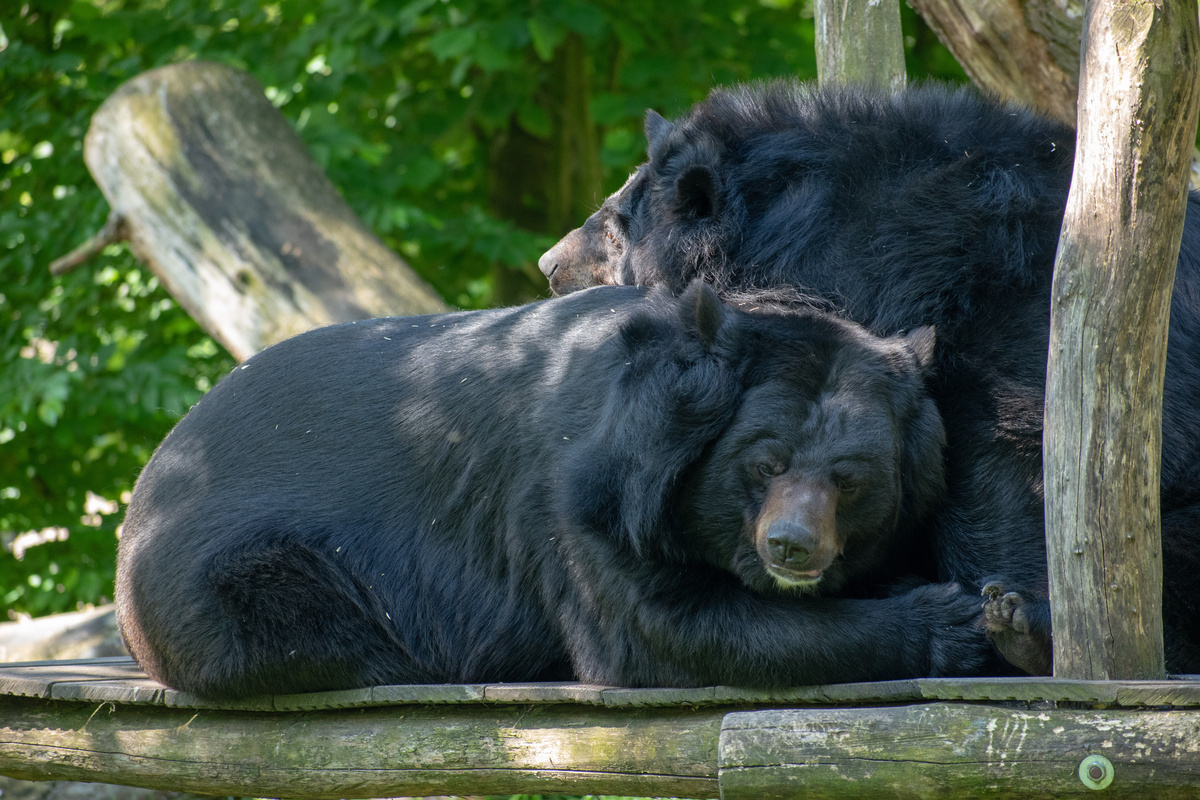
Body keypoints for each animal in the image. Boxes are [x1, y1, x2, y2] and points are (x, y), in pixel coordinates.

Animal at [115, 281, 993, 699]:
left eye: (851, 480)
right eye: (764, 463)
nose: (792, 548)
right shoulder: (580, 495)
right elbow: (663, 631)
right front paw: (952, 622)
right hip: (223, 574)